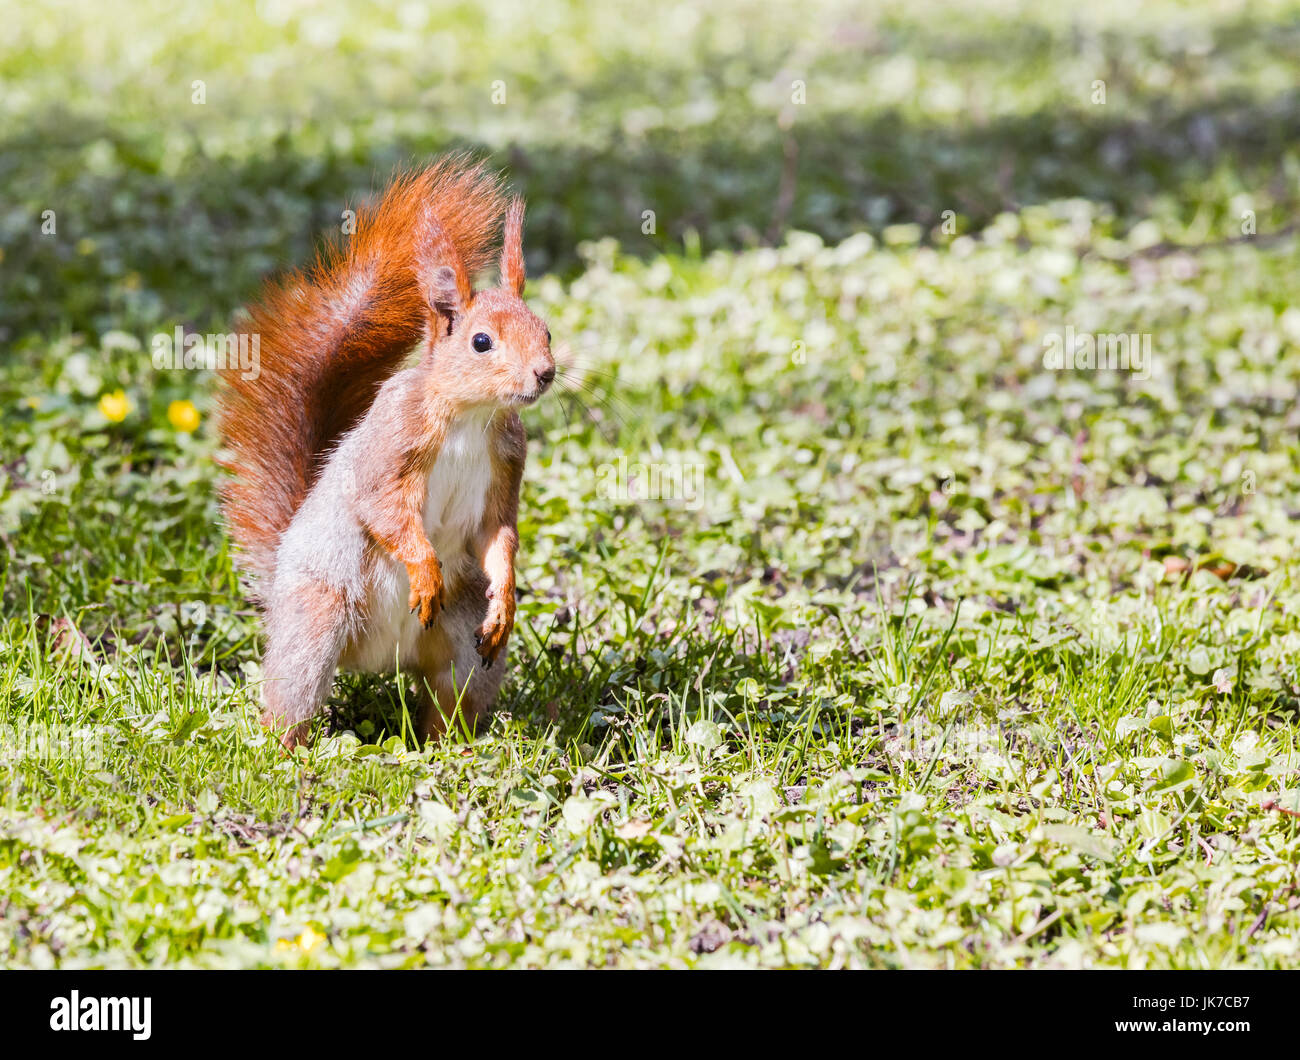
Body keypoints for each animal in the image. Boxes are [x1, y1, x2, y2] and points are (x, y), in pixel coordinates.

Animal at [217, 156, 554, 749]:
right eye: (481, 342)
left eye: (547, 331)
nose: (545, 373)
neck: (470, 417)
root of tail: (380, 660)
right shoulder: (393, 442)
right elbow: (382, 510)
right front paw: (423, 570)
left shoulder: (508, 459)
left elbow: (498, 533)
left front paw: (507, 598)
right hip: (317, 618)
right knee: (292, 695)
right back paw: (287, 749)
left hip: (465, 647)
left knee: (451, 696)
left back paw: (446, 746)